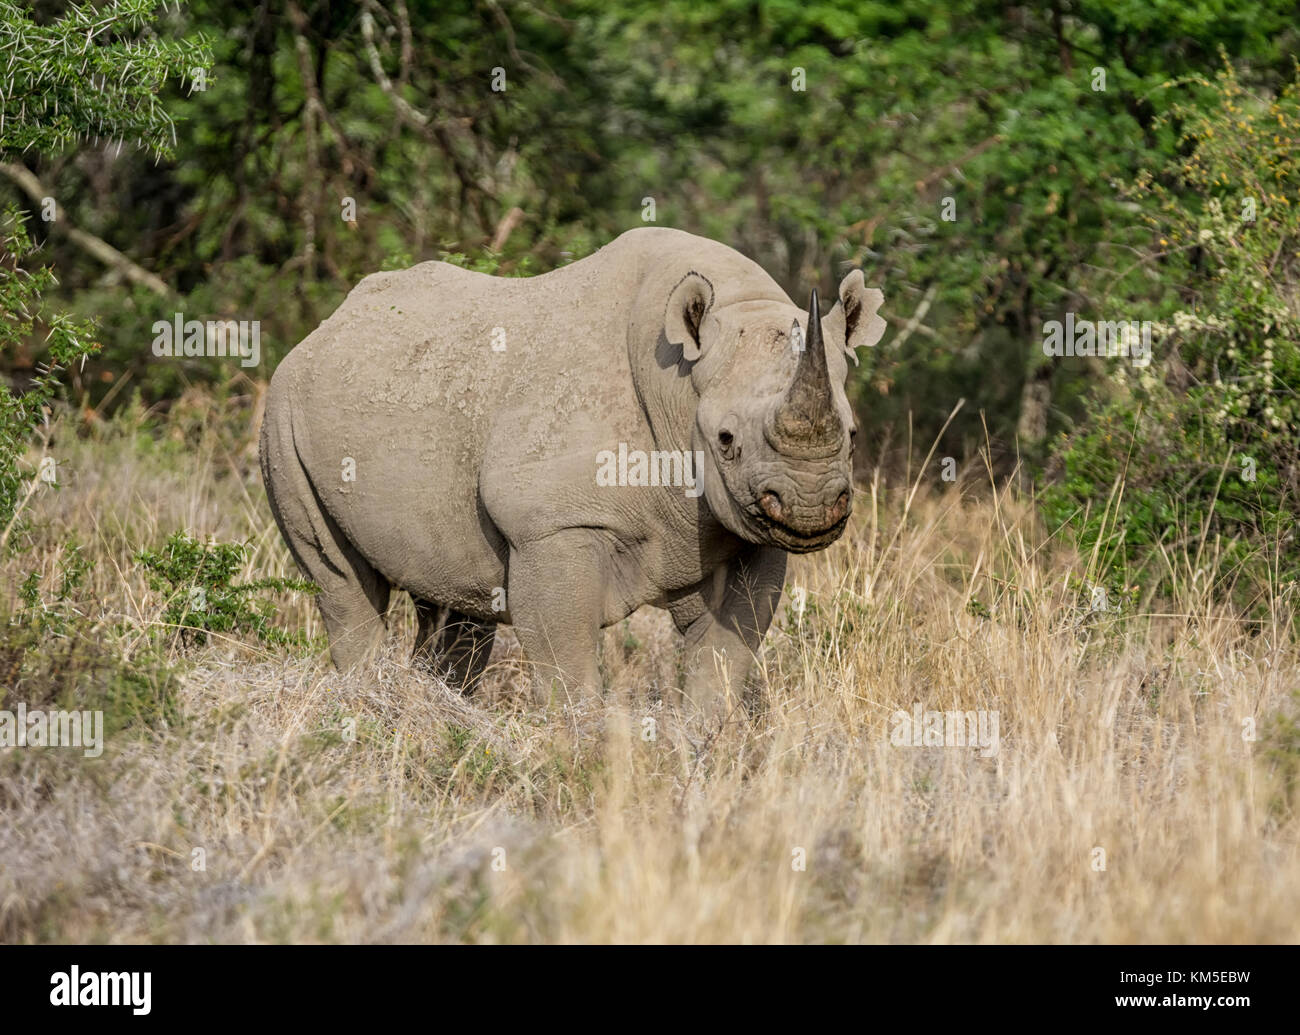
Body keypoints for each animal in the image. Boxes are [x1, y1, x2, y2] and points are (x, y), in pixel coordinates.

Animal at [260, 227, 885, 711]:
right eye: (726, 440)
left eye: (853, 436)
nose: (809, 507)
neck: (680, 386)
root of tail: (324, 327)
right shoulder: (552, 522)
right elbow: (567, 660)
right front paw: (580, 751)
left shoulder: (751, 532)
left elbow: (723, 657)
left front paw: (706, 746)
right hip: (282, 410)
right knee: (341, 582)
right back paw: (364, 699)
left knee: (453, 597)